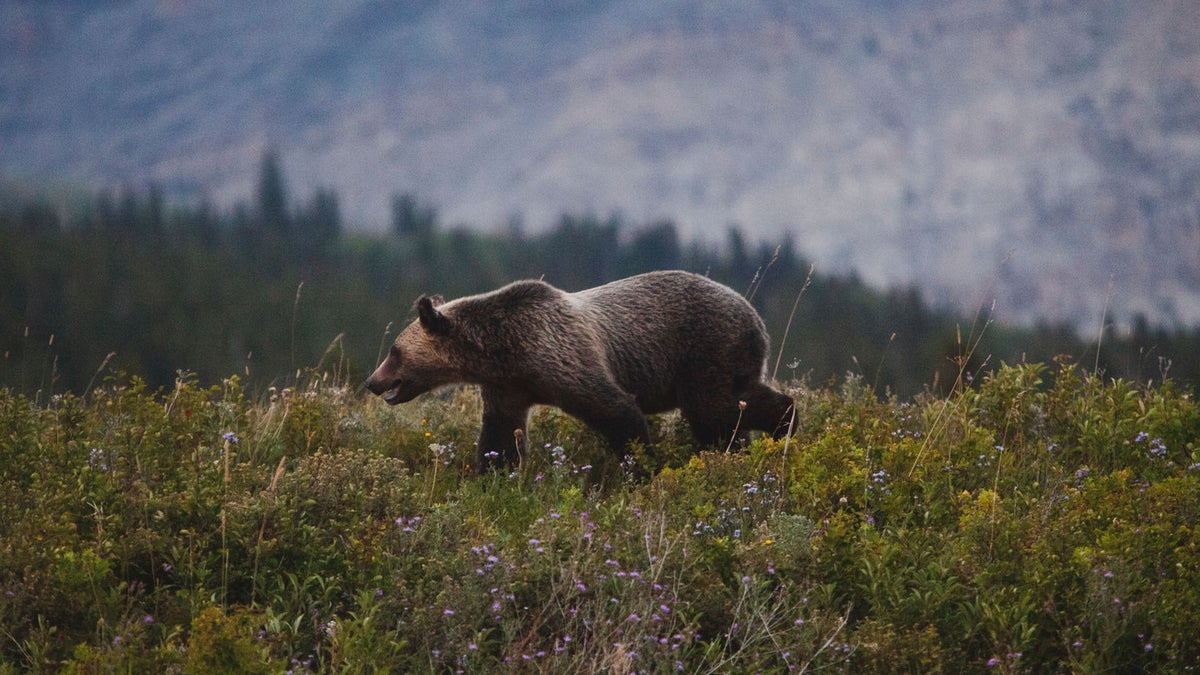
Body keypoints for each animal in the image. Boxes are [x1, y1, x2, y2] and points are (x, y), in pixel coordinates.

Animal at [365, 270, 795, 472]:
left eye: (394, 351)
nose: (372, 382)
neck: (503, 349)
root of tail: (755, 315)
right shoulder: (509, 386)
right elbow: (500, 435)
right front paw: (492, 474)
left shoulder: (562, 356)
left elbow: (615, 409)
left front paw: (640, 466)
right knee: (732, 406)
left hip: (705, 349)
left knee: (714, 411)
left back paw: (778, 427)